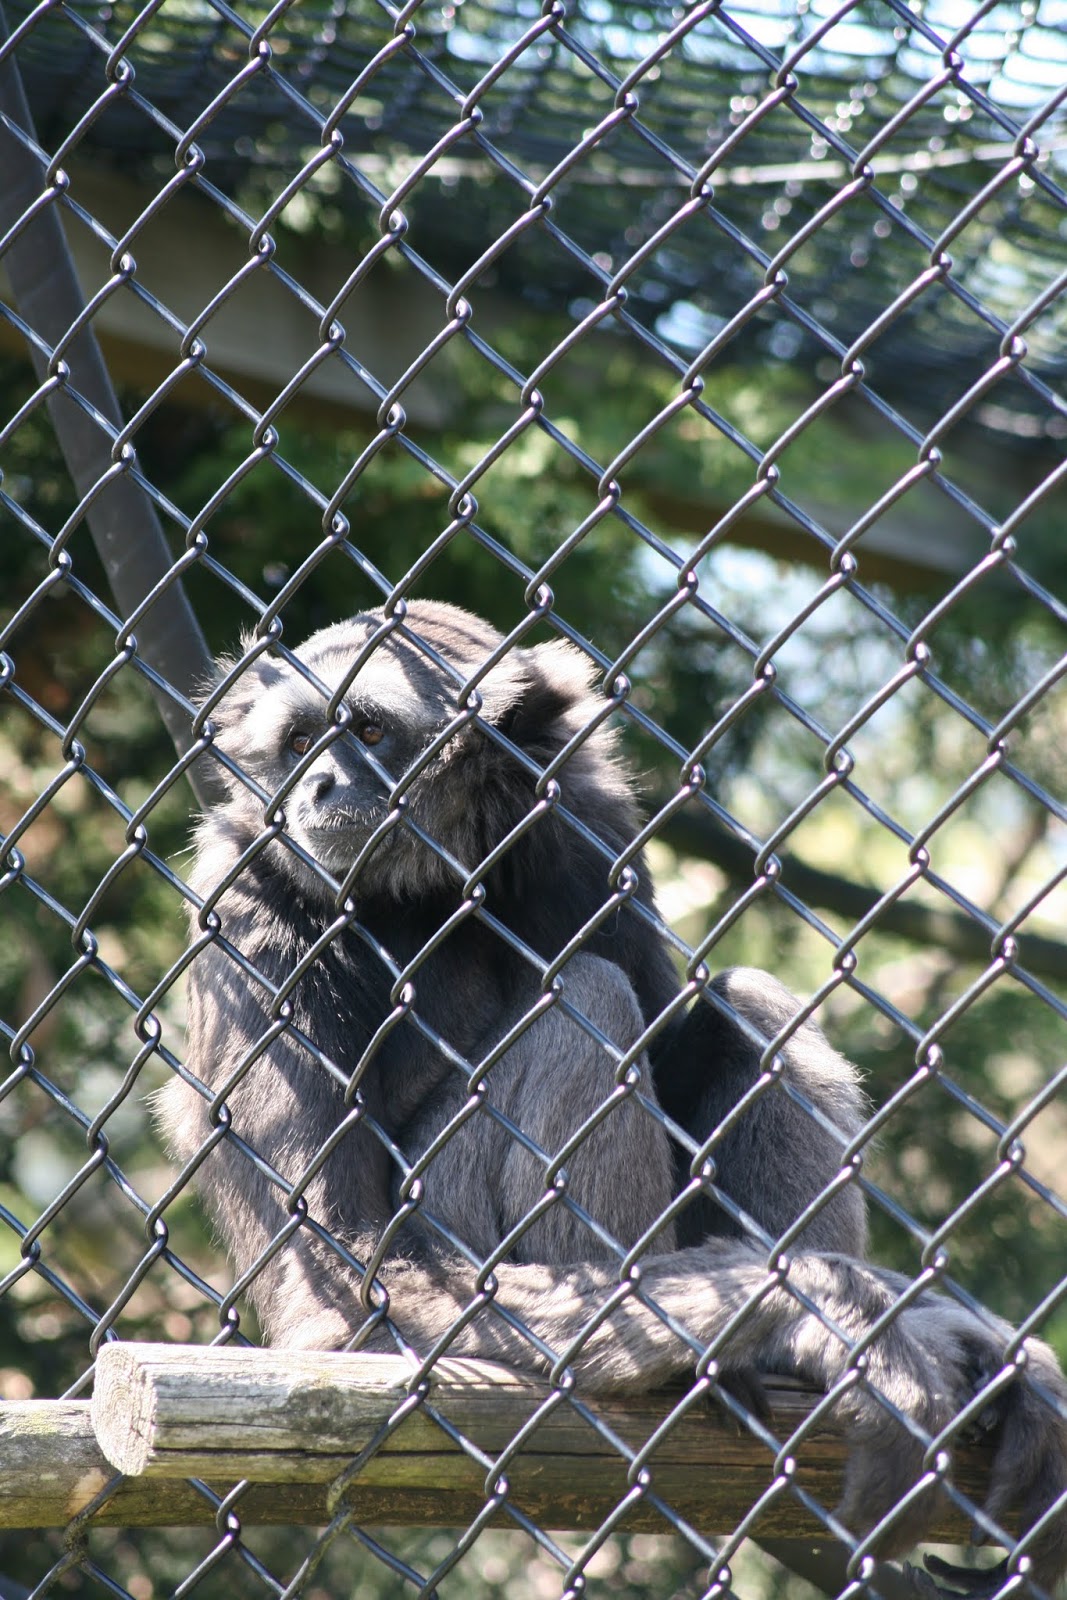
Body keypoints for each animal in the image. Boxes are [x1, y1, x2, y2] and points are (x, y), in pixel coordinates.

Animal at [157, 599, 1067, 1591]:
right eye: (297, 742)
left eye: (363, 730)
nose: (317, 785)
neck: (426, 888)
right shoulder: (246, 905)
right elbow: (333, 1294)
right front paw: (820, 1307)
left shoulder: (578, 827)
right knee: (584, 998)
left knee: (743, 1004)